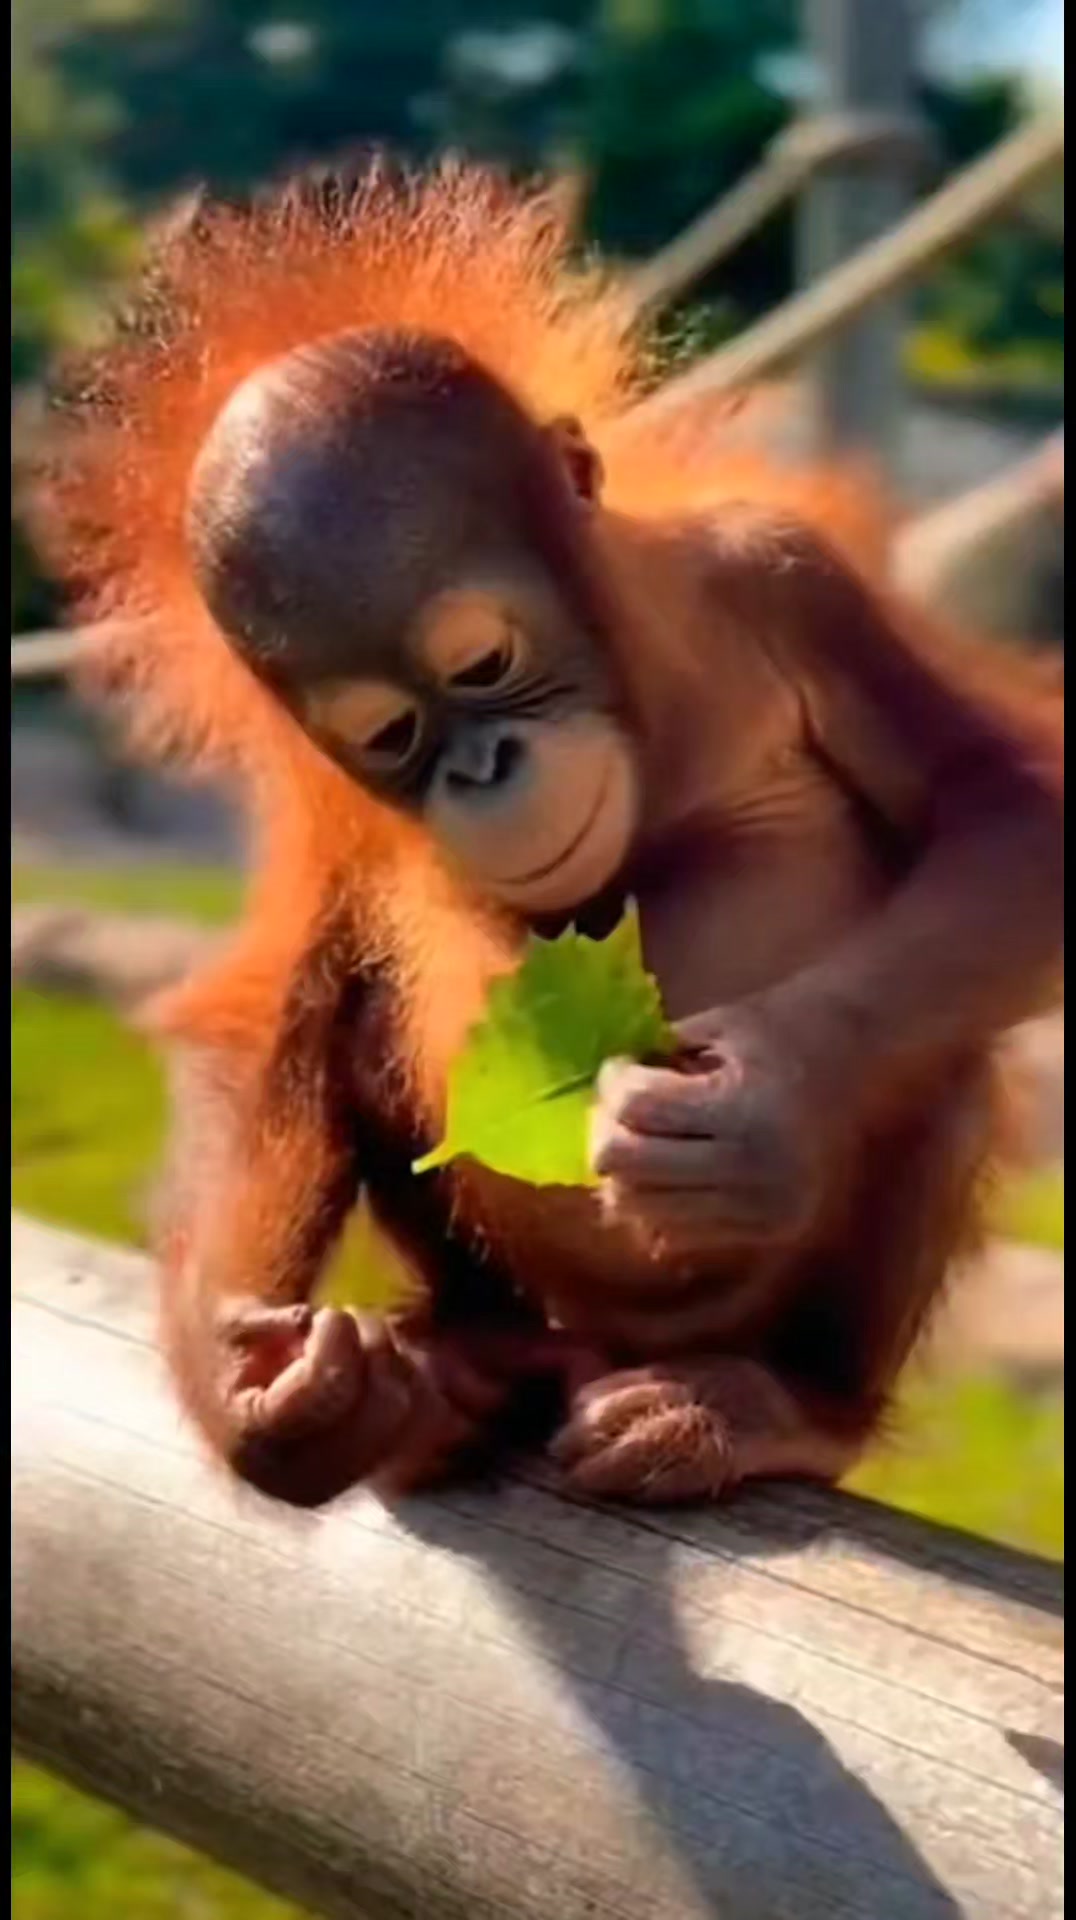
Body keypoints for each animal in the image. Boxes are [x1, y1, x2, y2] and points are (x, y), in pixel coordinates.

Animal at [35, 162, 1064, 1509]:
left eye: (482, 662)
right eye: (390, 736)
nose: (480, 767)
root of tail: (611, 1350)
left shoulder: (783, 573)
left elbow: (1000, 808)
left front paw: (761, 1107)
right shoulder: (320, 795)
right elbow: (268, 1005)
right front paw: (274, 1400)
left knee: (939, 1069)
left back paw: (773, 1408)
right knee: (374, 1011)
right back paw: (466, 1367)